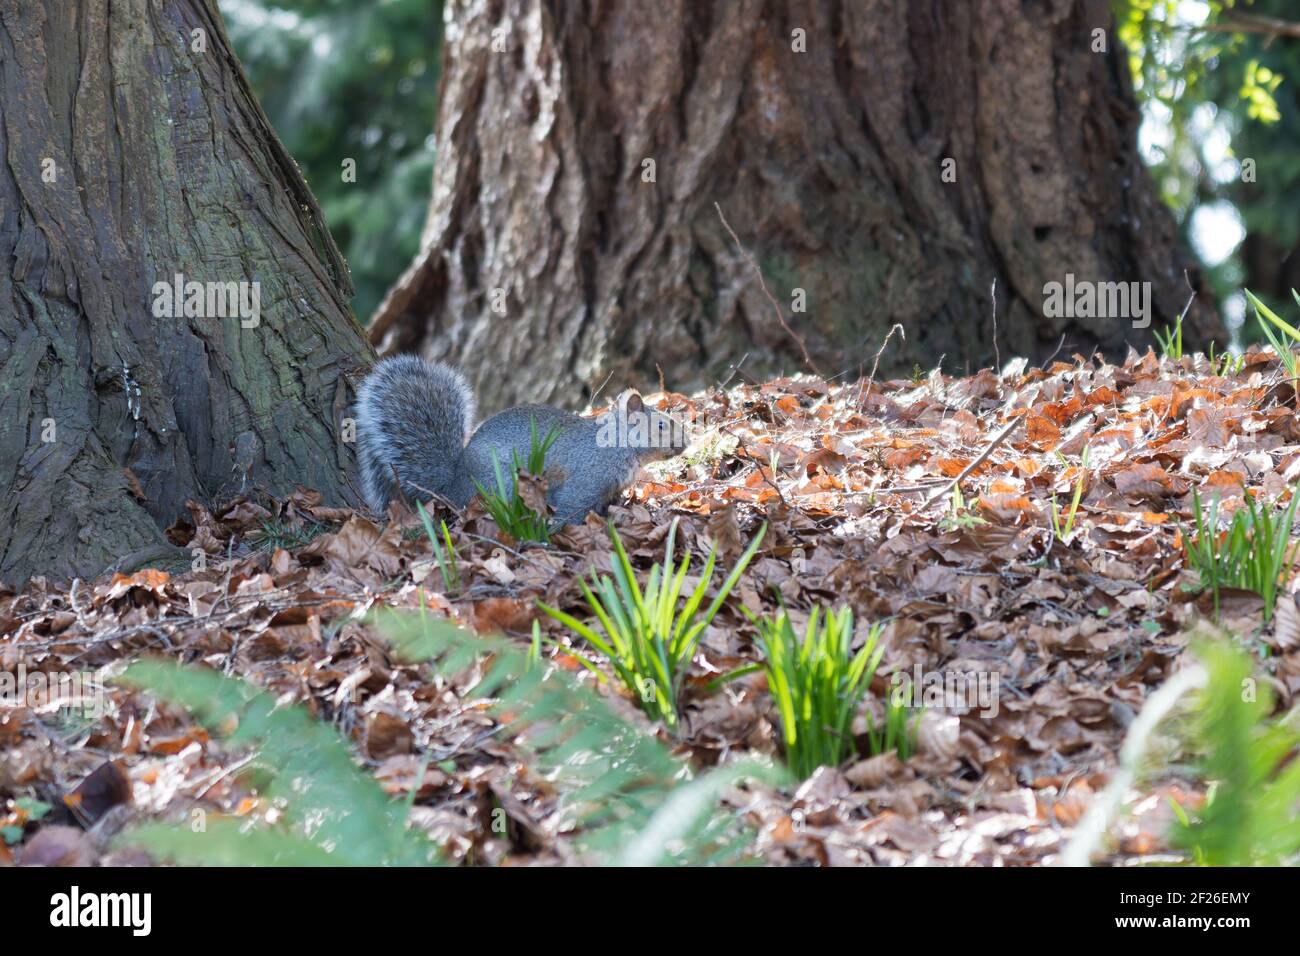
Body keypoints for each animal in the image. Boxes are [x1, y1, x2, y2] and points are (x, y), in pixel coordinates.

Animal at [354, 355, 688, 525]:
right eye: (662, 424)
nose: (685, 443)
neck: (618, 446)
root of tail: (454, 483)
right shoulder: (585, 481)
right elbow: (572, 509)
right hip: (499, 482)